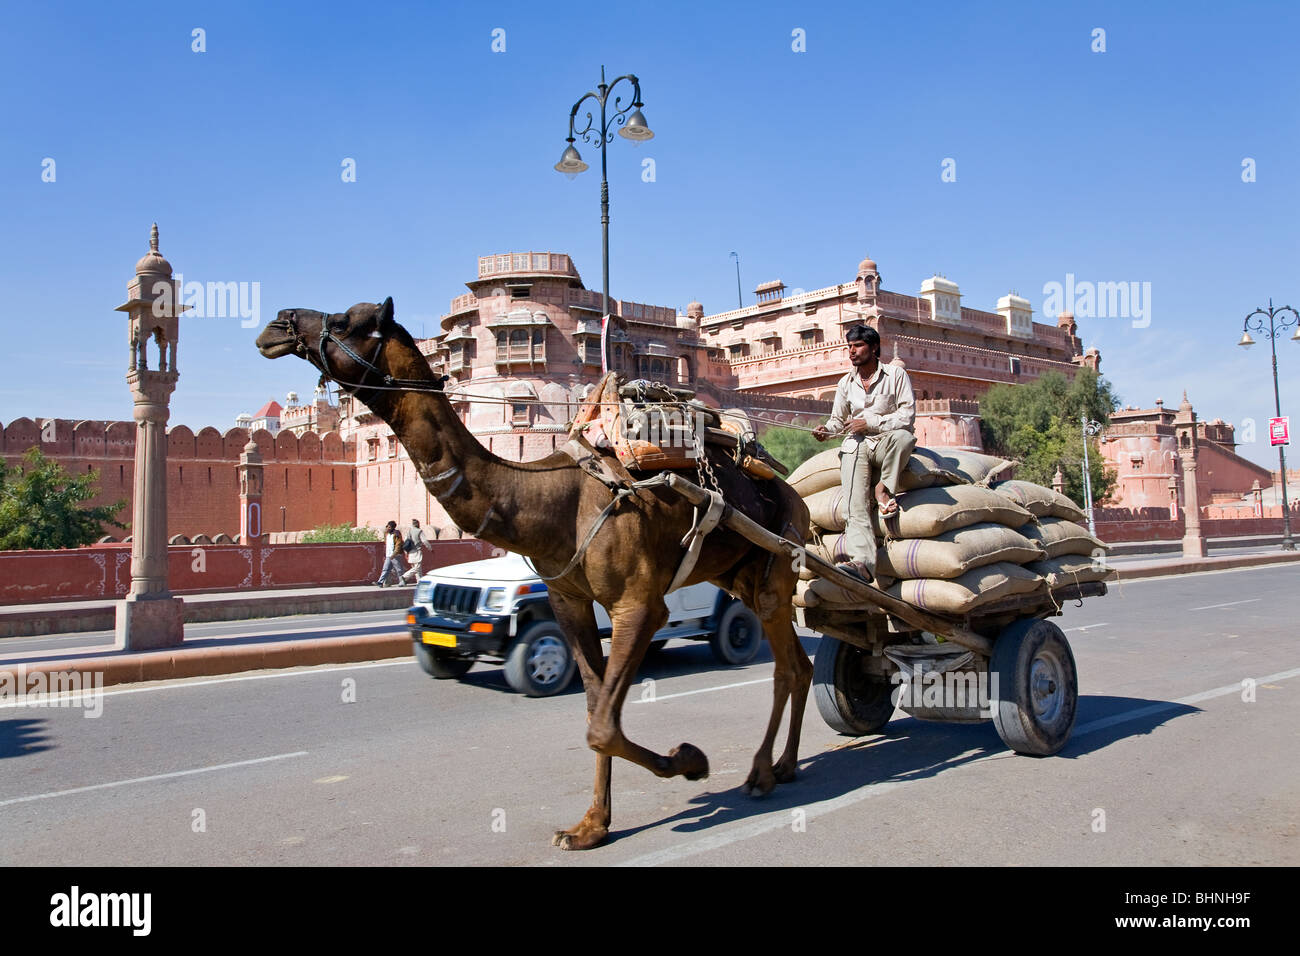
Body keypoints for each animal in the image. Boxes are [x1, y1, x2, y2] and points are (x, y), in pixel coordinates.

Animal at [256, 298, 814, 850]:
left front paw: (690, 761)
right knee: (799, 664)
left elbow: (602, 724)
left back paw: (763, 772)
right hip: (738, 572)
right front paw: (590, 826)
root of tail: (792, 491)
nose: (278, 324)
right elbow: (596, 712)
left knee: (785, 666)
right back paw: (784, 765)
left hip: (779, 562)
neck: (549, 500)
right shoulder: (568, 601)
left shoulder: (638, 604)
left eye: (348, 321)